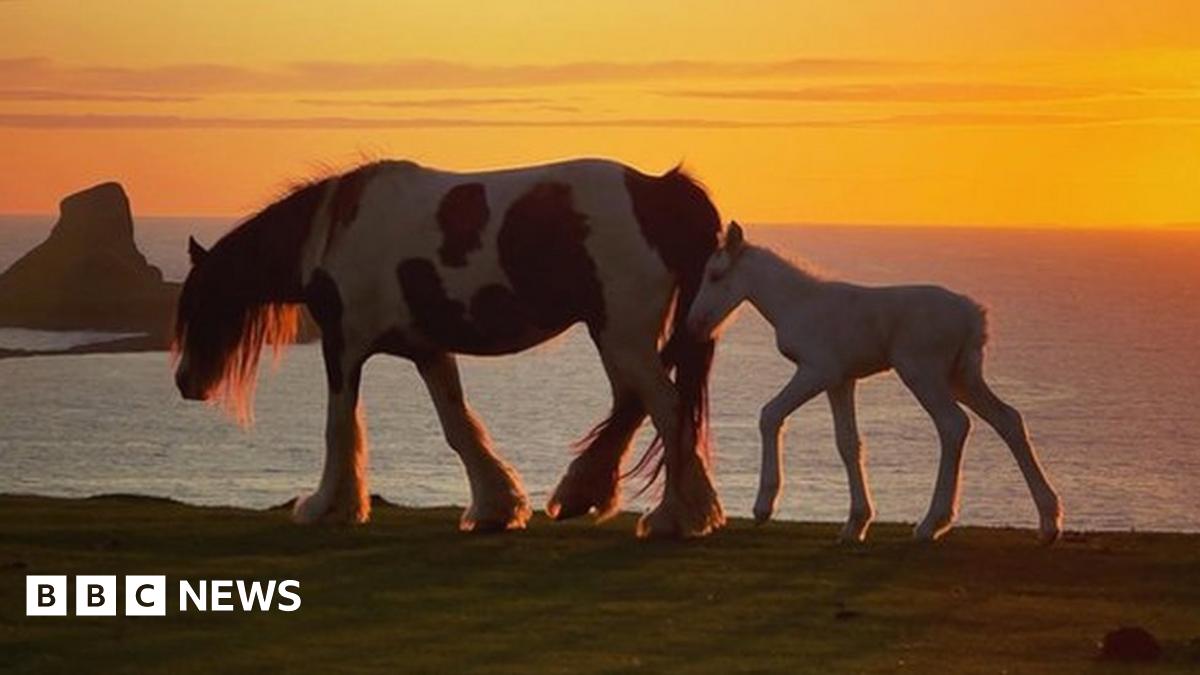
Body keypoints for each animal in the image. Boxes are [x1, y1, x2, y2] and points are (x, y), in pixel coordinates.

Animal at [172, 158, 726, 538]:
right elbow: (458, 426)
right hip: (617, 338)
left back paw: (675, 516)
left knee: (667, 408)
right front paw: (495, 507)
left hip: (622, 337)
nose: (184, 383)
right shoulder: (428, 351)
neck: (331, 236)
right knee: (635, 404)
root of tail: (658, 191)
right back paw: (588, 492)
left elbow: (339, 427)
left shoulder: (342, 346)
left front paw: (326, 505)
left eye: (198, 304)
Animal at [685, 222, 1063, 543]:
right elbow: (848, 443)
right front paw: (856, 523)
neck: (798, 303)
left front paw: (764, 506)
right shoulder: (842, 380)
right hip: (963, 377)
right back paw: (1049, 522)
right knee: (1008, 419)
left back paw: (931, 524)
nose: (695, 324)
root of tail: (974, 317)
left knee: (953, 424)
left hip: (922, 372)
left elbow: (770, 414)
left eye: (715, 275)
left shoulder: (817, 370)